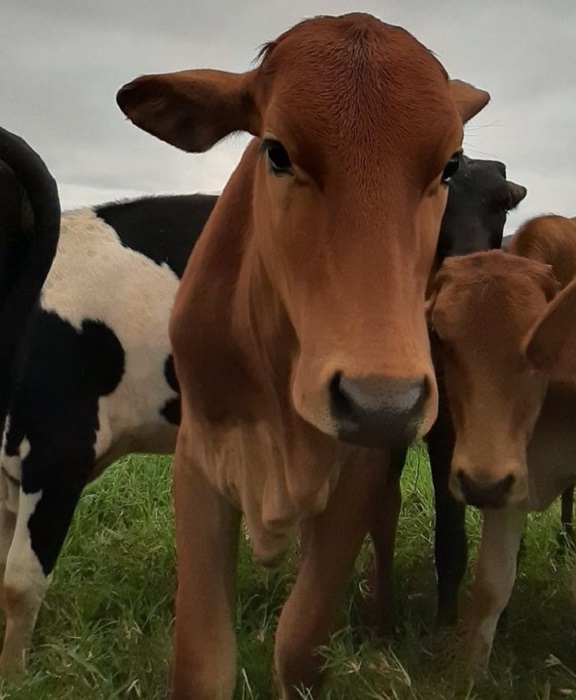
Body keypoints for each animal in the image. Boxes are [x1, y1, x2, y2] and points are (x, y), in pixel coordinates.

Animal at [117, 13, 489, 699]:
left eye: (450, 165)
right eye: (277, 151)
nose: (380, 402)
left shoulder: (358, 472)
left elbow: (299, 645)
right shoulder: (199, 464)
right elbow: (201, 660)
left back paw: (378, 617)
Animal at [426, 249, 571, 671]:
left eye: (537, 341)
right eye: (440, 337)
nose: (480, 485)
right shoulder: (509, 483)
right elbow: (491, 585)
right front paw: (469, 676)